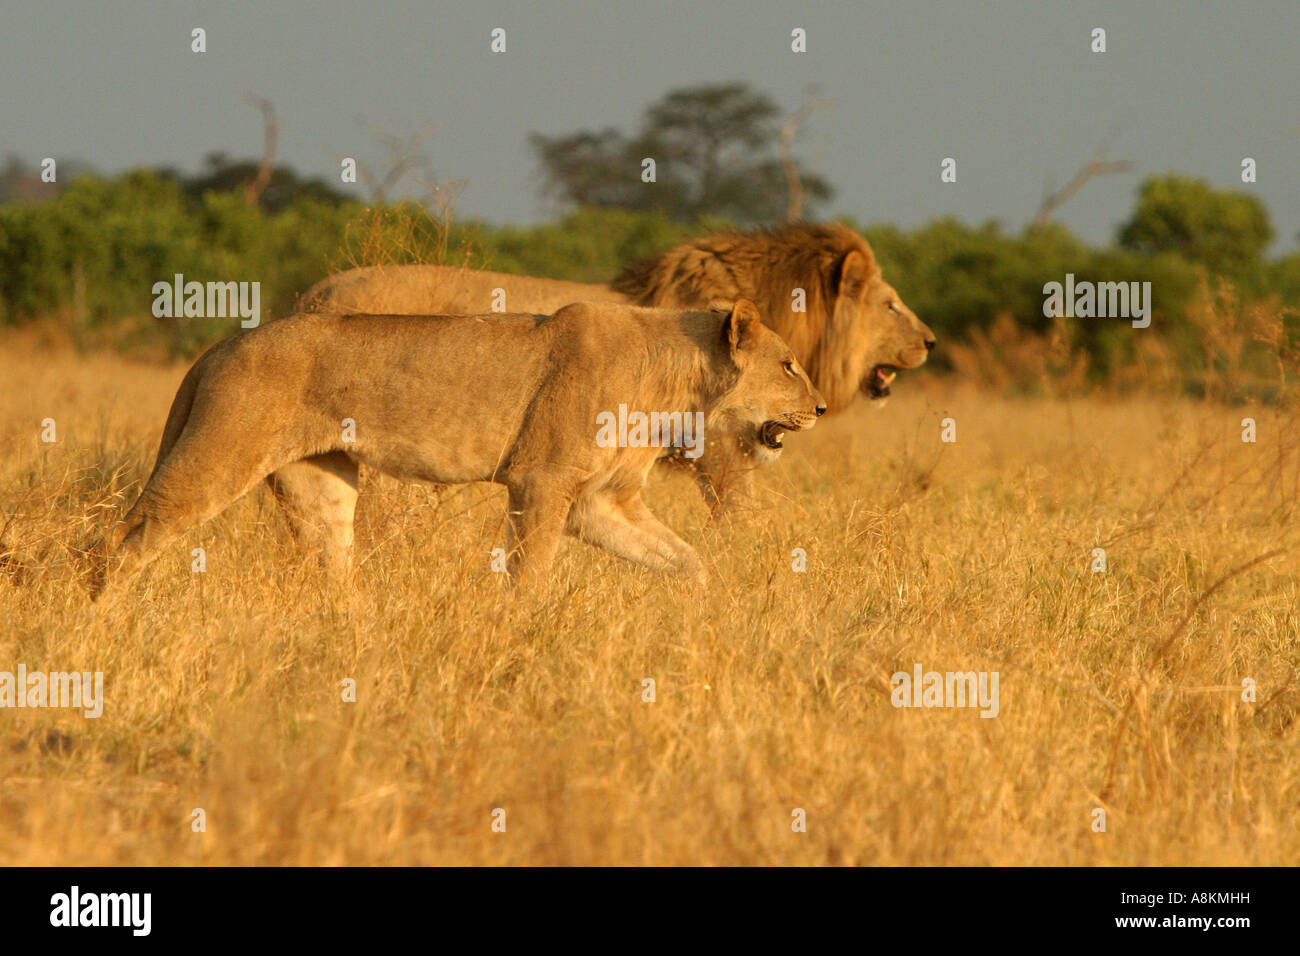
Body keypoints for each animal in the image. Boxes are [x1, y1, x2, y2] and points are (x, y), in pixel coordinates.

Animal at [91, 300, 824, 596]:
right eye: (789, 364)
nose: (820, 407)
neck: (678, 389)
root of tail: (220, 344)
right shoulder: (541, 481)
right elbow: (531, 573)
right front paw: (525, 630)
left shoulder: (602, 502)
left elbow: (685, 559)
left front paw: (705, 610)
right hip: (220, 454)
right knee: (125, 538)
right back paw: (104, 620)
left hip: (318, 482)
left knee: (334, 569)